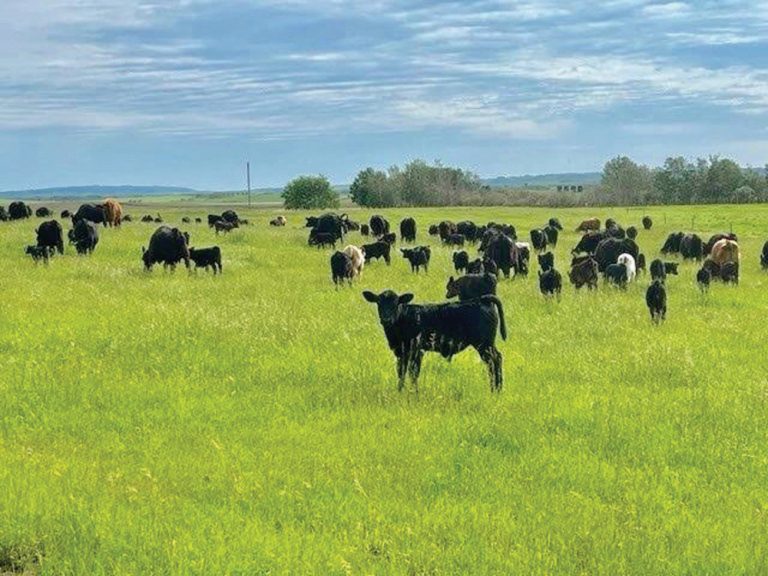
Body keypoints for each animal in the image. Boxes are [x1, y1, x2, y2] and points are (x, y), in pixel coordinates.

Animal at [362, 290, 506, 391]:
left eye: (396, 303)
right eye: (379, 303)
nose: (386, 319)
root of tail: (481, 299)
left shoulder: (417, 351)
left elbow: (413, 373)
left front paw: (414, 393)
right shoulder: (401, 353)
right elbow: (401, 373)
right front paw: (400, 391)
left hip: (484, 344)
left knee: (495, 360)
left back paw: (495, 389)